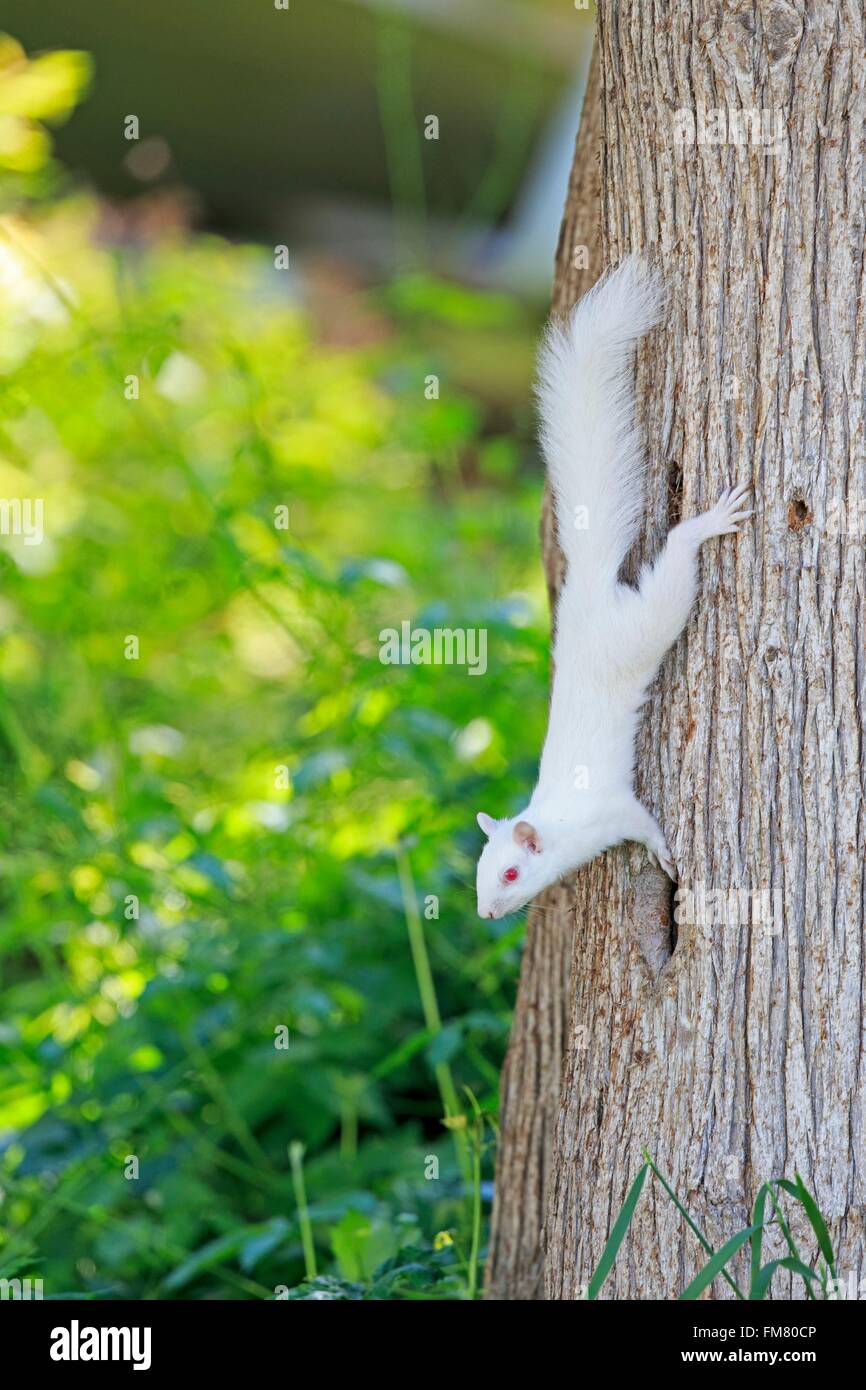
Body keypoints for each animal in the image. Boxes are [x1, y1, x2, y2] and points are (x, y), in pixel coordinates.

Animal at [475, 257, 751, 920]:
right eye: (479, 872)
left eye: (512, 872)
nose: (487, 913)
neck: (560, 823)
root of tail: (587, 593)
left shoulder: (610, 809)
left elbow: (643, 823)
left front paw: (664, 856)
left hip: (647, 622)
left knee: (676, 558)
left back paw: (706, 524)